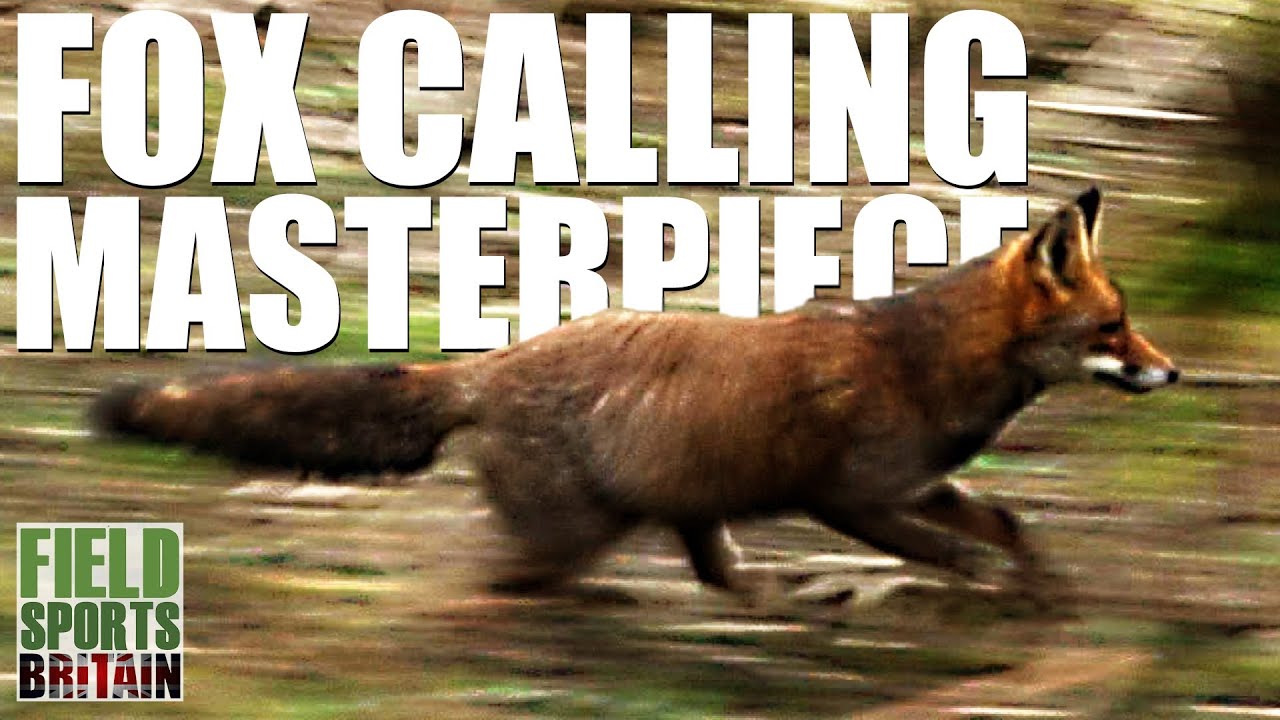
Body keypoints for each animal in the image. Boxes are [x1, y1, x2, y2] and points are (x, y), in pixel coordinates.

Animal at [93, 187, 1178, 604]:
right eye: (1112, 330)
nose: (1175, 375)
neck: (924, 362)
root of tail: (489, 365)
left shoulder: (916, 487)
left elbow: (1004, 523)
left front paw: (1039, 589)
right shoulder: (851, 497)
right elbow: (956, 553)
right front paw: (977, 593)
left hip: (689, 507)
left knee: (720, 577)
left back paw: (784, 600)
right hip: (578, 533)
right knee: (501, 586)